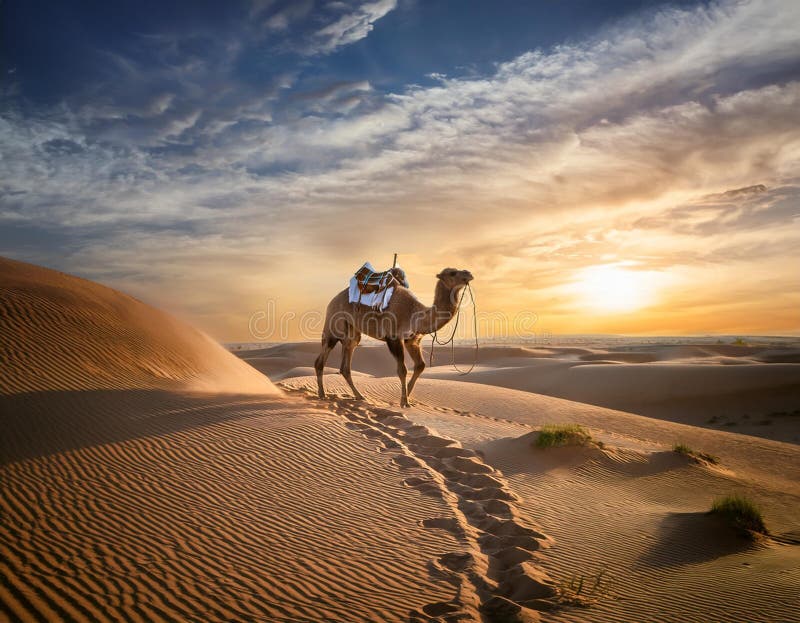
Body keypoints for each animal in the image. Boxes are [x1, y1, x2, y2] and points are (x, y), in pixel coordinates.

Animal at [314, 267, 474, 407]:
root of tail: (331, 301)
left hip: (352, 332)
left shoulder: (412, 341)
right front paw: (405, 402)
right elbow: (402, 370)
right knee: (320, 360)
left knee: (346, 365)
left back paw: (359, 396)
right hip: (333, 324)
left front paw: (406, 396)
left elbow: (420, 365)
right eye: (452, 273)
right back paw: (322, 394)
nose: (469, 274)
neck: (415, 313)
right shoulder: (394, 338)